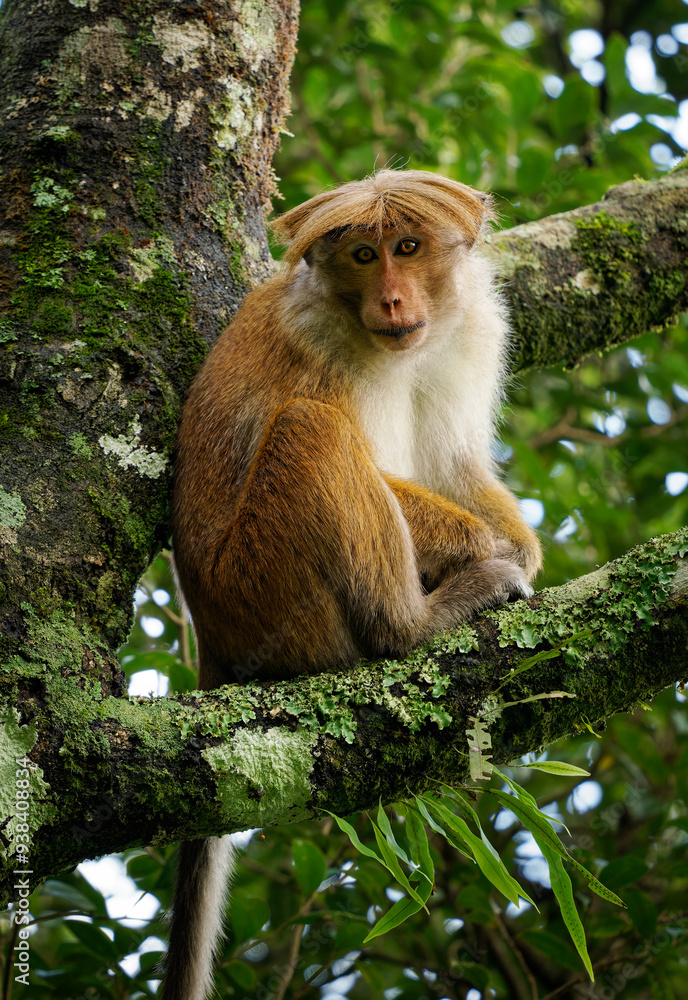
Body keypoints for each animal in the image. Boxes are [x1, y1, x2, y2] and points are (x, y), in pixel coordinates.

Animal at [161, 169, 542, 1000]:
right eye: (364, 255)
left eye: (409, 247)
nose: (394, 300)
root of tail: (212, 640)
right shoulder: (319, 345)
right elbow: (376, 463)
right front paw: (488, 548)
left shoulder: (472, 332)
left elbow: (455, 461)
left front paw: (524, 545)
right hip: (266, 591)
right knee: (314, 430)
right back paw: (416, 623)